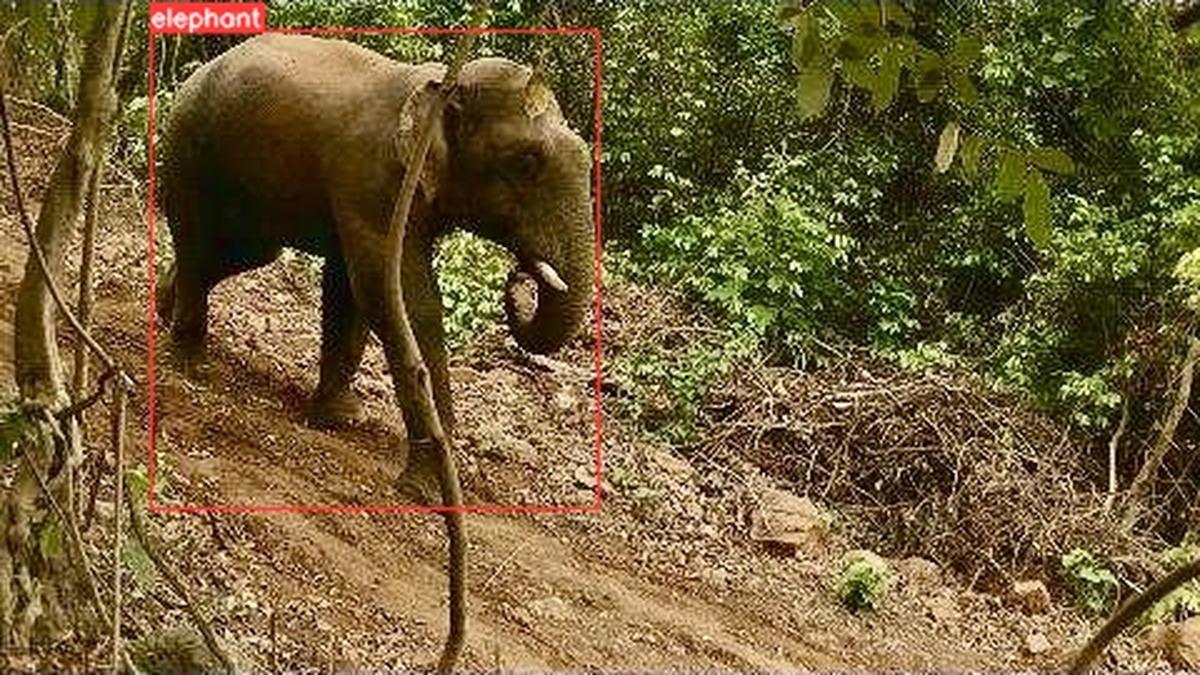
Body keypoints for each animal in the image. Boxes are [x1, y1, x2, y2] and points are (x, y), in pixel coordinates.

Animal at [156, 34, 594, 493]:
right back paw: (191, 363)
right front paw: (425, 487)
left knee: (245, 250)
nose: (518, 278)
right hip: (189, 146)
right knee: (198, 237)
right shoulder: (375, 184)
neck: (441, 85)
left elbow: (352, 290)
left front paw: (341, 418)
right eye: (526, 162)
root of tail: (201, 71)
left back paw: (163, 307)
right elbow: (400, 299)